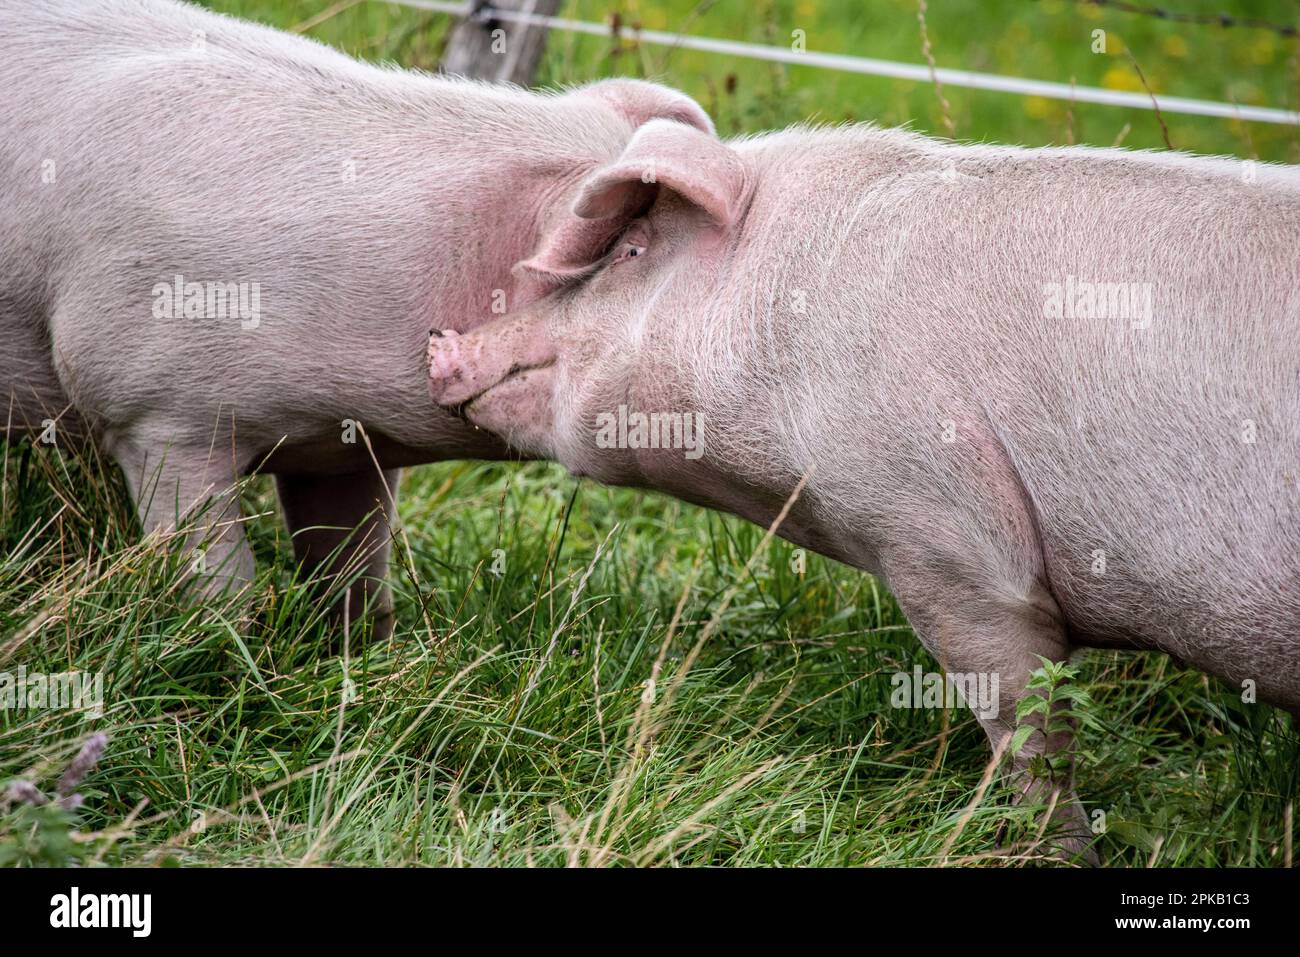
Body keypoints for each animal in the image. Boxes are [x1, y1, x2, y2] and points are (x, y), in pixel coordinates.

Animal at [0, 0, 715, 637]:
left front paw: (358, 653)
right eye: (634, 252)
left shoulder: (345, 450)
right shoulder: (153, 417)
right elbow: (214, 580)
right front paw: (231, 654)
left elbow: (355, 570)